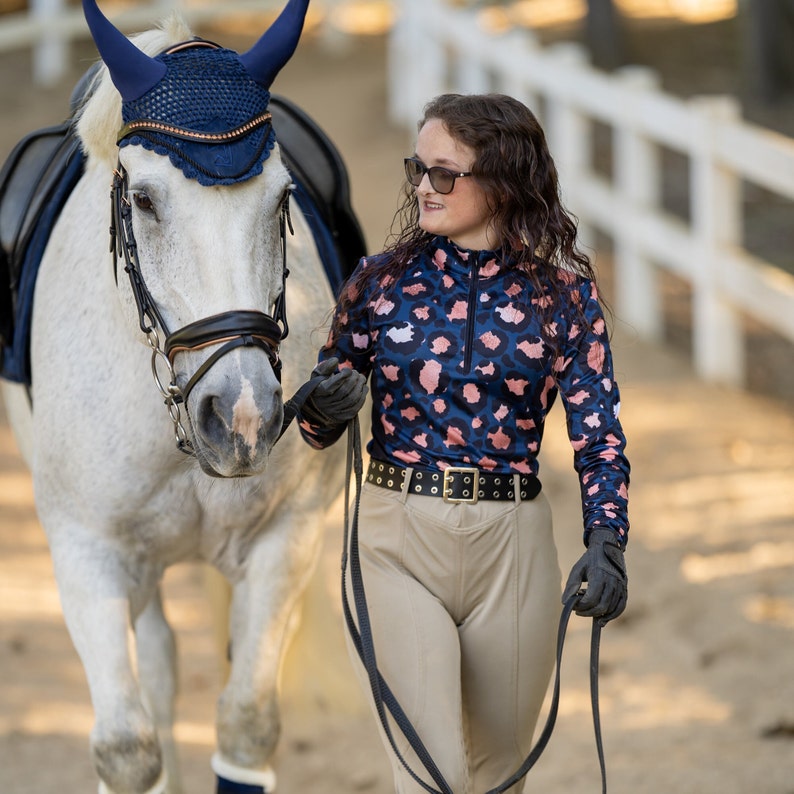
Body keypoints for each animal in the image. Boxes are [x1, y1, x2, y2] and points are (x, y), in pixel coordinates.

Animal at [0, 0, 357, 791]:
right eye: (142, 199)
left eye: (282, 199)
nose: (243, 417)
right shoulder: (87, 552)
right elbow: (128, 750)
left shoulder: (285, 540)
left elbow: (247, 724)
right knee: (160, 666)